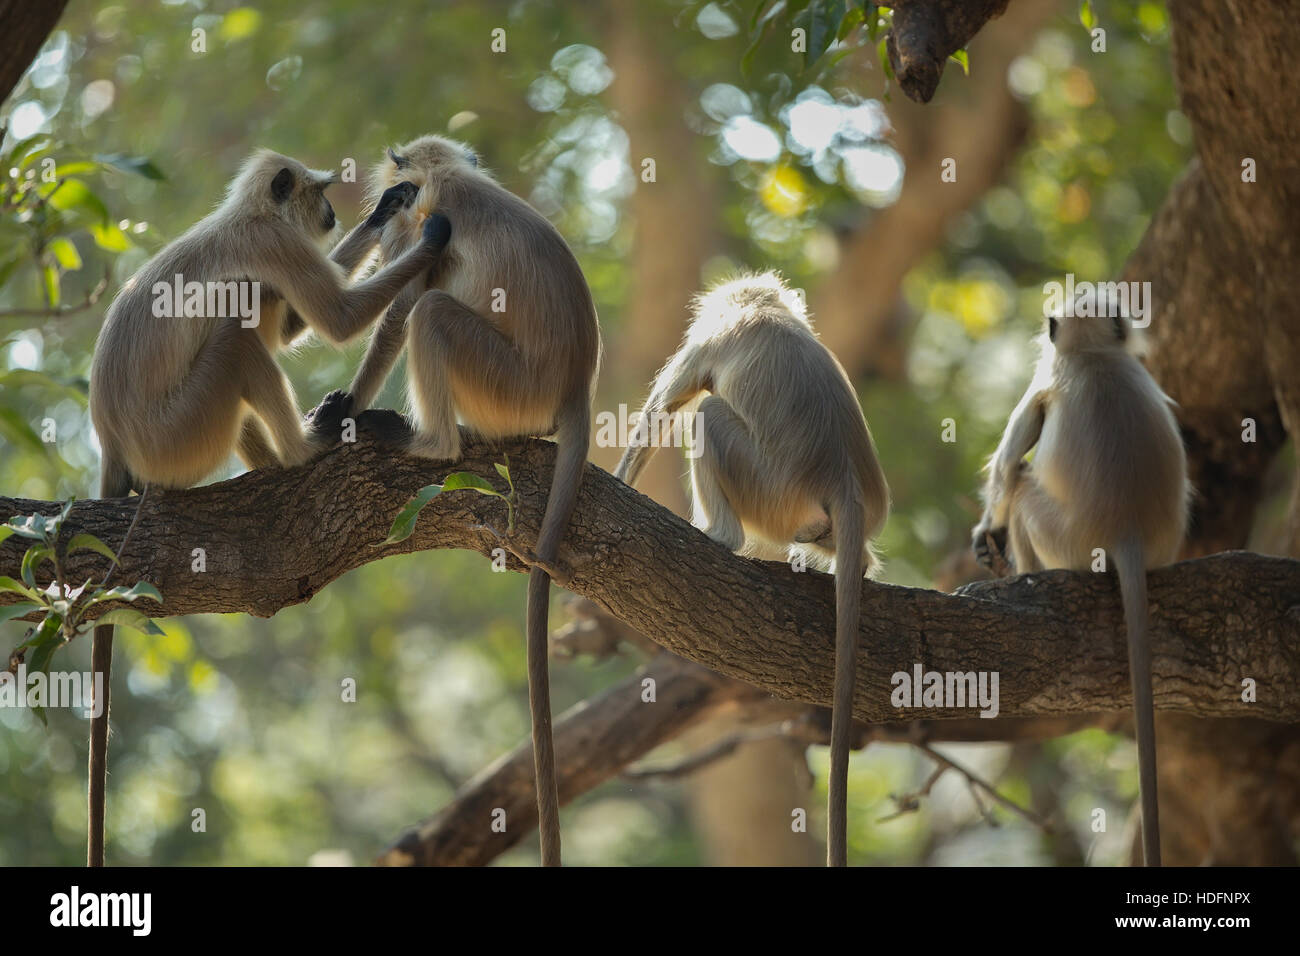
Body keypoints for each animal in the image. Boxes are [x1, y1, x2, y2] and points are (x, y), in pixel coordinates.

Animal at [85, 149, 446, 866]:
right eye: (317, 192)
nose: (333, 211)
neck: (246, 215)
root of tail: (114, 441)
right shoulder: (271, 244)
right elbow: (333, 320)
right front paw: (428, 237)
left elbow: (300, 321)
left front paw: (389, 206)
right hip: (181, 436)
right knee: (236, 334)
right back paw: (302, 452)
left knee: (254, 320)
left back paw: (278, 461)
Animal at [310, 135, 602, 867]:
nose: (384, 204)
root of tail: (576, 384)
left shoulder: (428, 226)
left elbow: (397, 310)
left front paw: (343, 414)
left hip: (504, 385)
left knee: (433, 315)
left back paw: (432, 443)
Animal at [613, 272, 890, 867]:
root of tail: (844, 480)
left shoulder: (715, 336)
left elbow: (664, 408)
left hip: (769, 493)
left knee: (709, 415)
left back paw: (721, 536)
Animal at [972, 310, 1189, 867]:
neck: (1095, 356)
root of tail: (1127, 532)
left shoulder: (1046, 377)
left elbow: (1006, 470)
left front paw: (986, 534)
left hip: (1060, 539)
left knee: (1022, 487)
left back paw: (1020, 574)